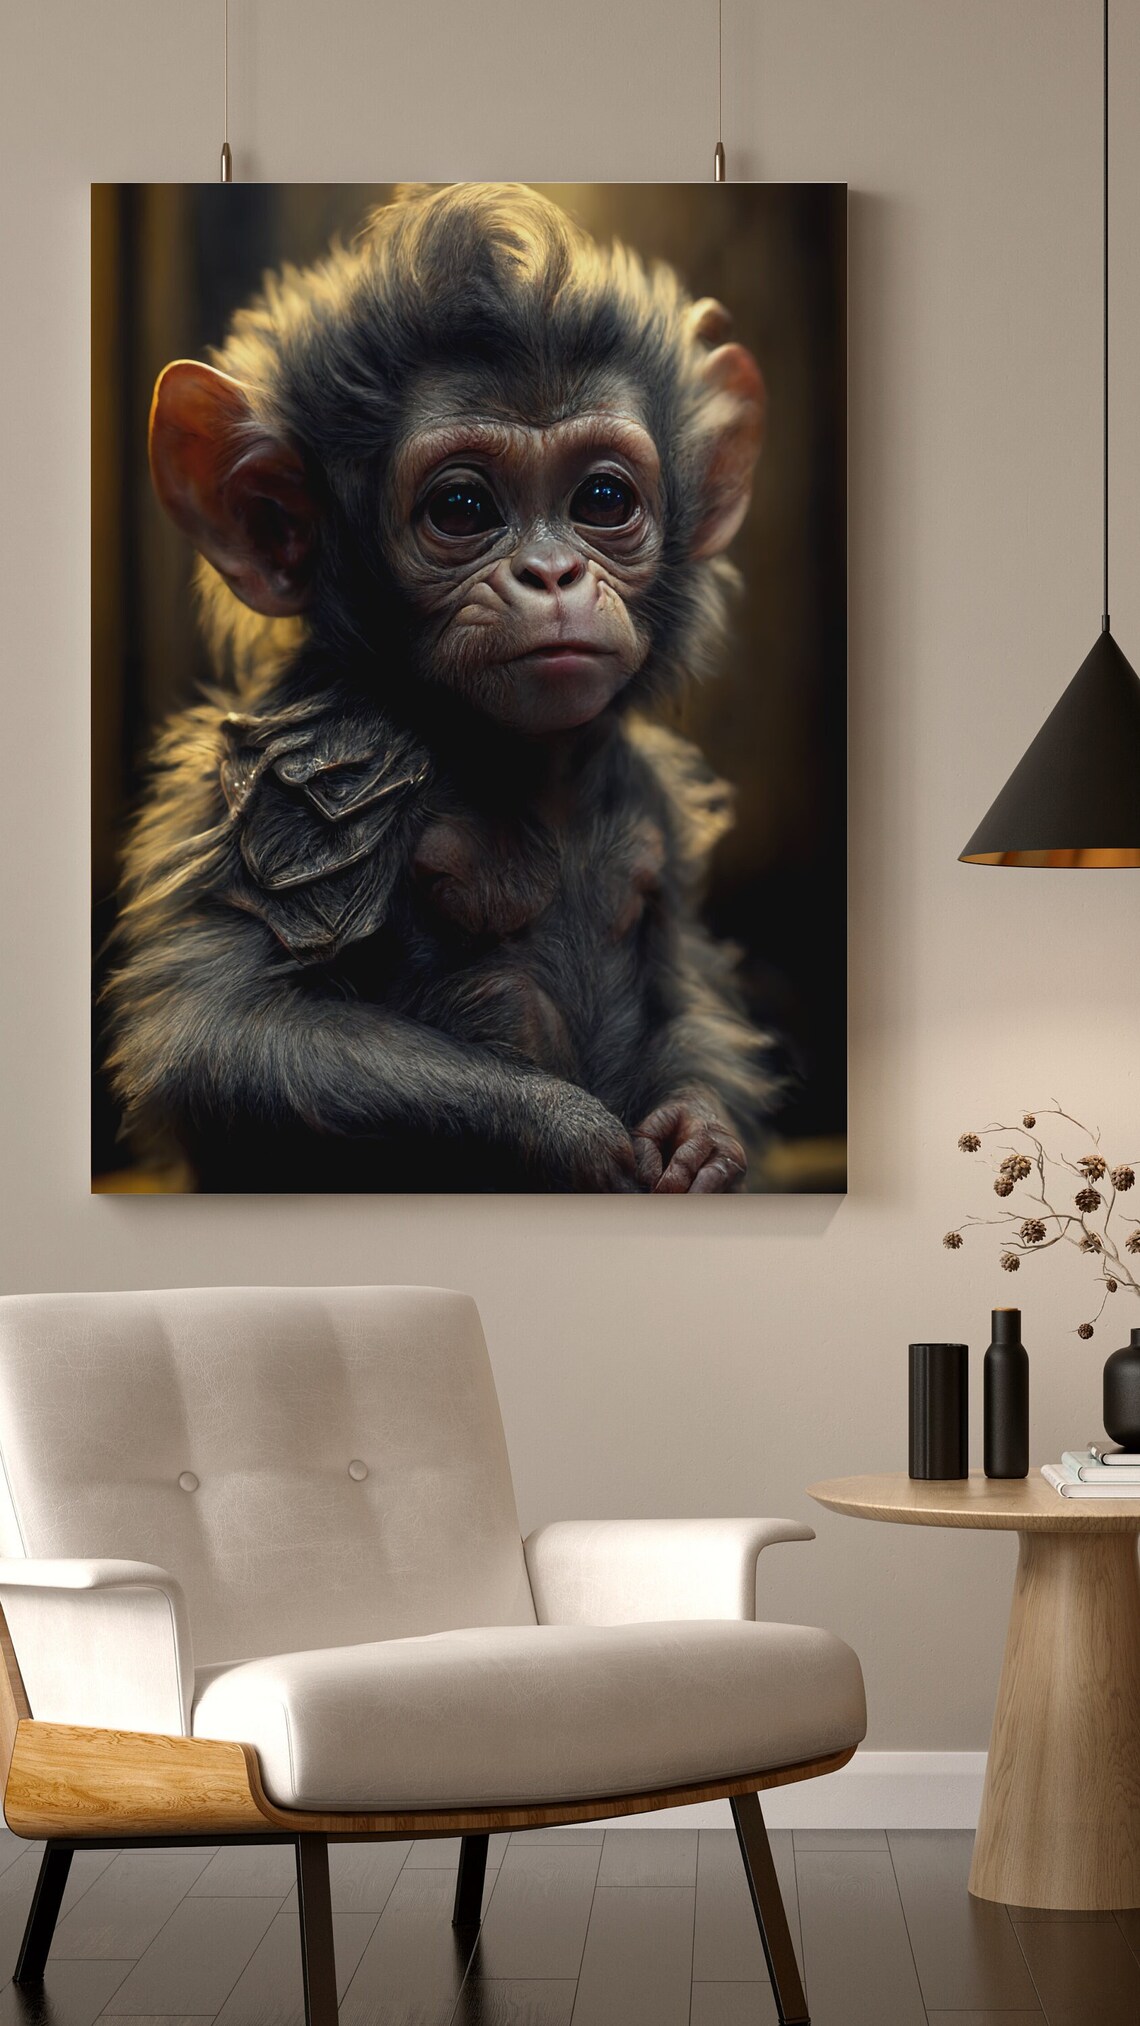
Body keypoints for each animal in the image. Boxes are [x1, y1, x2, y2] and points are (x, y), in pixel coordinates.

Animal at [105, 182, 780, 1193]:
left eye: (603, 501)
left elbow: (685, 981)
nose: (551, 573)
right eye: (462, 509)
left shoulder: (655, 800)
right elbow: (217, 1032)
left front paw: (700, 1134)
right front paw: (570, 1135)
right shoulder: (322, 769)